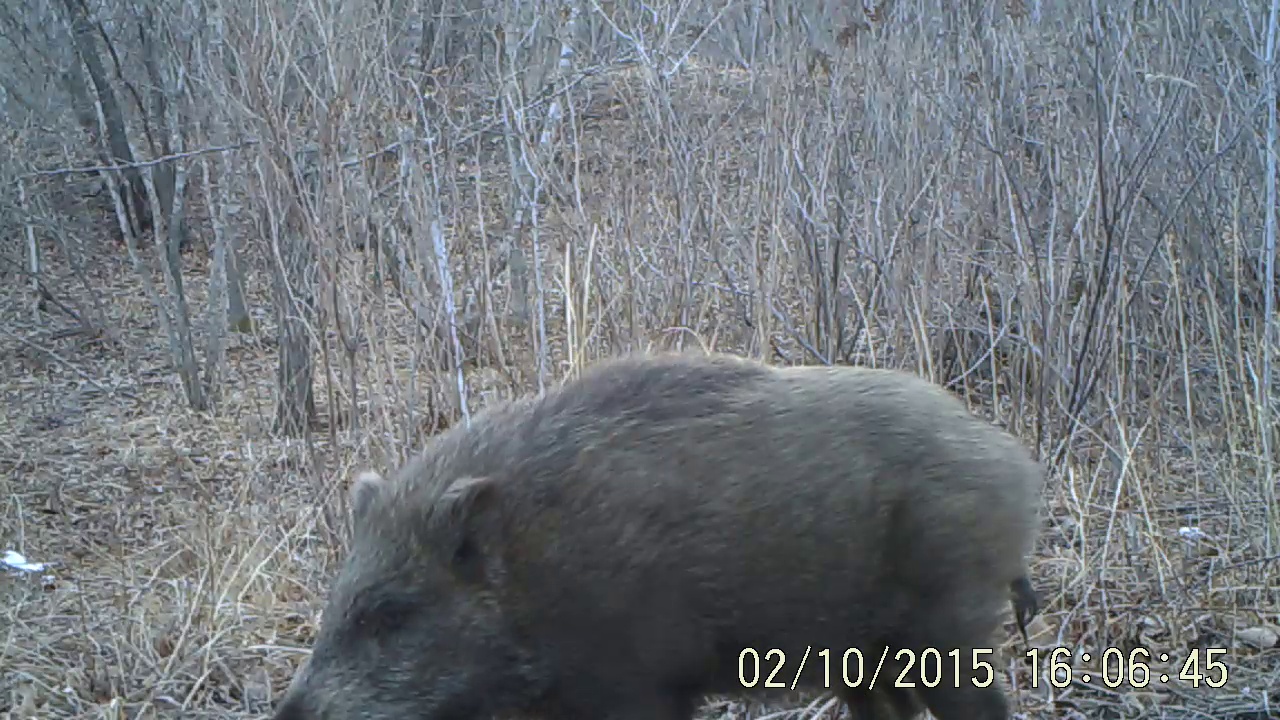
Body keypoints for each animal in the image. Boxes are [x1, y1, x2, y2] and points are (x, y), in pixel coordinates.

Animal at [272, 350, 1043, 720]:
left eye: (390, 614)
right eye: (335, 607)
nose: (288, 714)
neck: (529, 573)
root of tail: (1018, 465)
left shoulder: (640, 686)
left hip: (949, 629)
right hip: (870, 660)